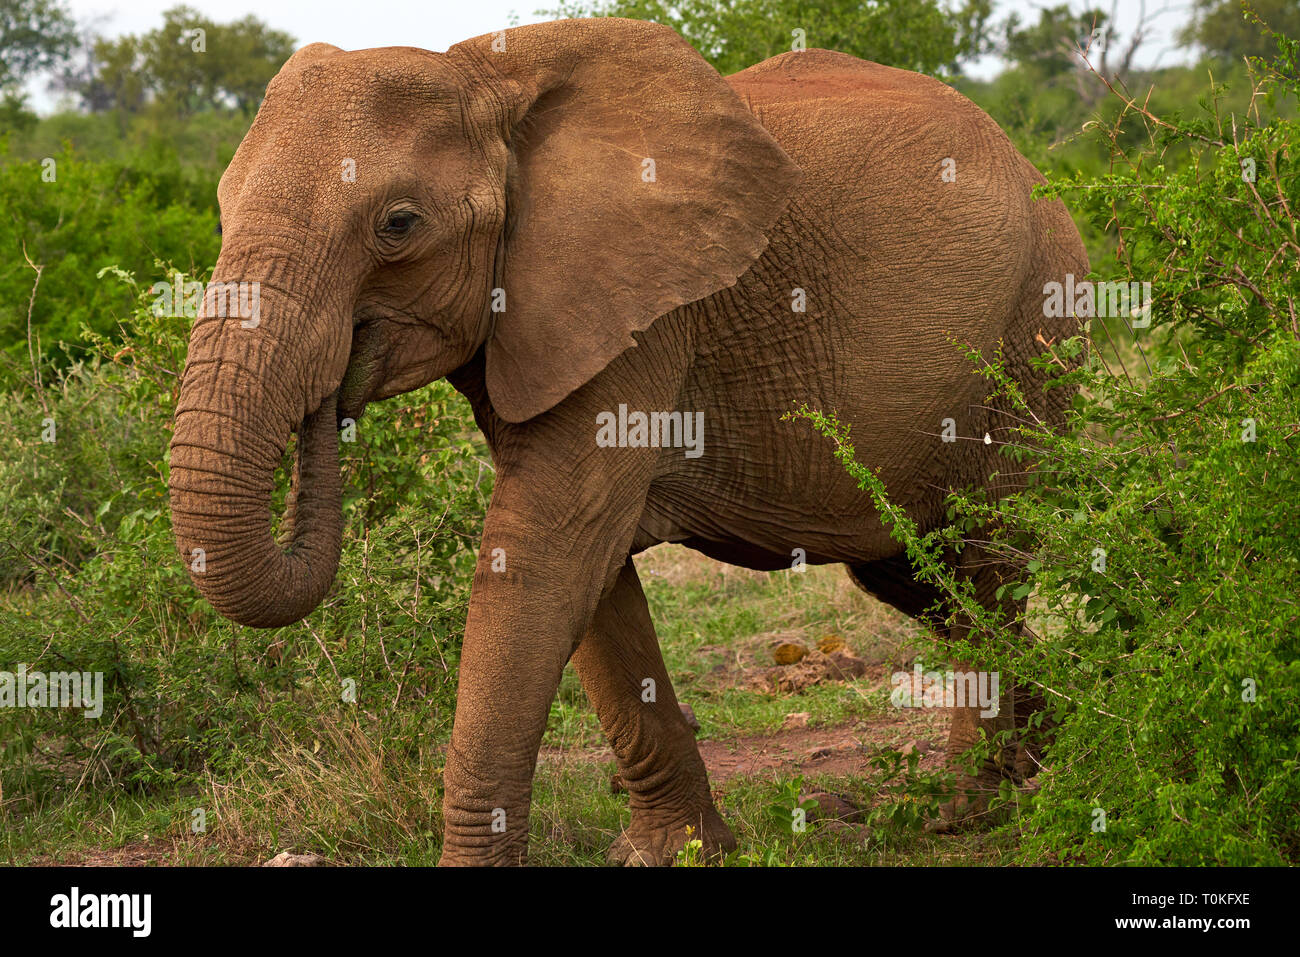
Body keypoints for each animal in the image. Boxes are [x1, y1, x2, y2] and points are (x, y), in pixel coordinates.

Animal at [168, 17, 1087, 866]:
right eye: (218, 210)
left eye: (397, 224)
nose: (334, 389)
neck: (484, 73)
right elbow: (587, 575)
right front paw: (676, 850)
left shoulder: (645, 319)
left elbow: (544, 547)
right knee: (923, 576)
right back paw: (1048, 738)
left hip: (1034, 328)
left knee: (981, 554)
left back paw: (968, 807)